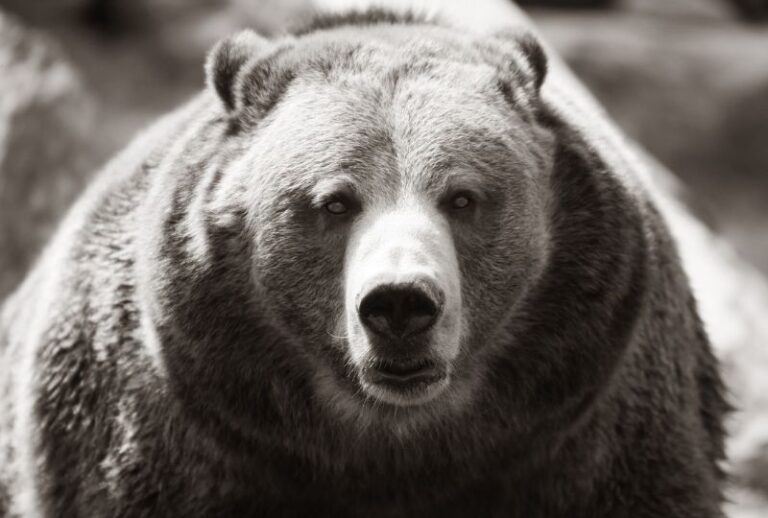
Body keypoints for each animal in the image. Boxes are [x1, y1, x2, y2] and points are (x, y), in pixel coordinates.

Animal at [0, 9, 728, 518]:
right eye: (335, 201)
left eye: (462, 197)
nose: (400, 303)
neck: (381, 448)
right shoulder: (162, 431)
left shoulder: (591, 425)